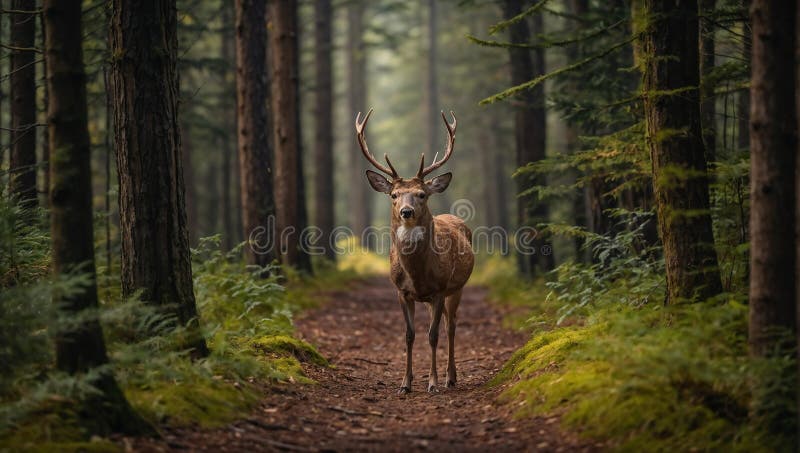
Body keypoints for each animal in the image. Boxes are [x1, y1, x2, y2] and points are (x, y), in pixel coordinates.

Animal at [355, 108, 474, 394]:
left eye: (422, 194)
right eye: (394, 195)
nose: (406, 211)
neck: (418, 274)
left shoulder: (440, 289)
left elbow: (432, 336)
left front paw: (432, 383)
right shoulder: (401, 291)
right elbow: (409, 335)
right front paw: (405, 383)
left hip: (456, 288)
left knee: (451, 326)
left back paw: (450, 377)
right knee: (446, 324)